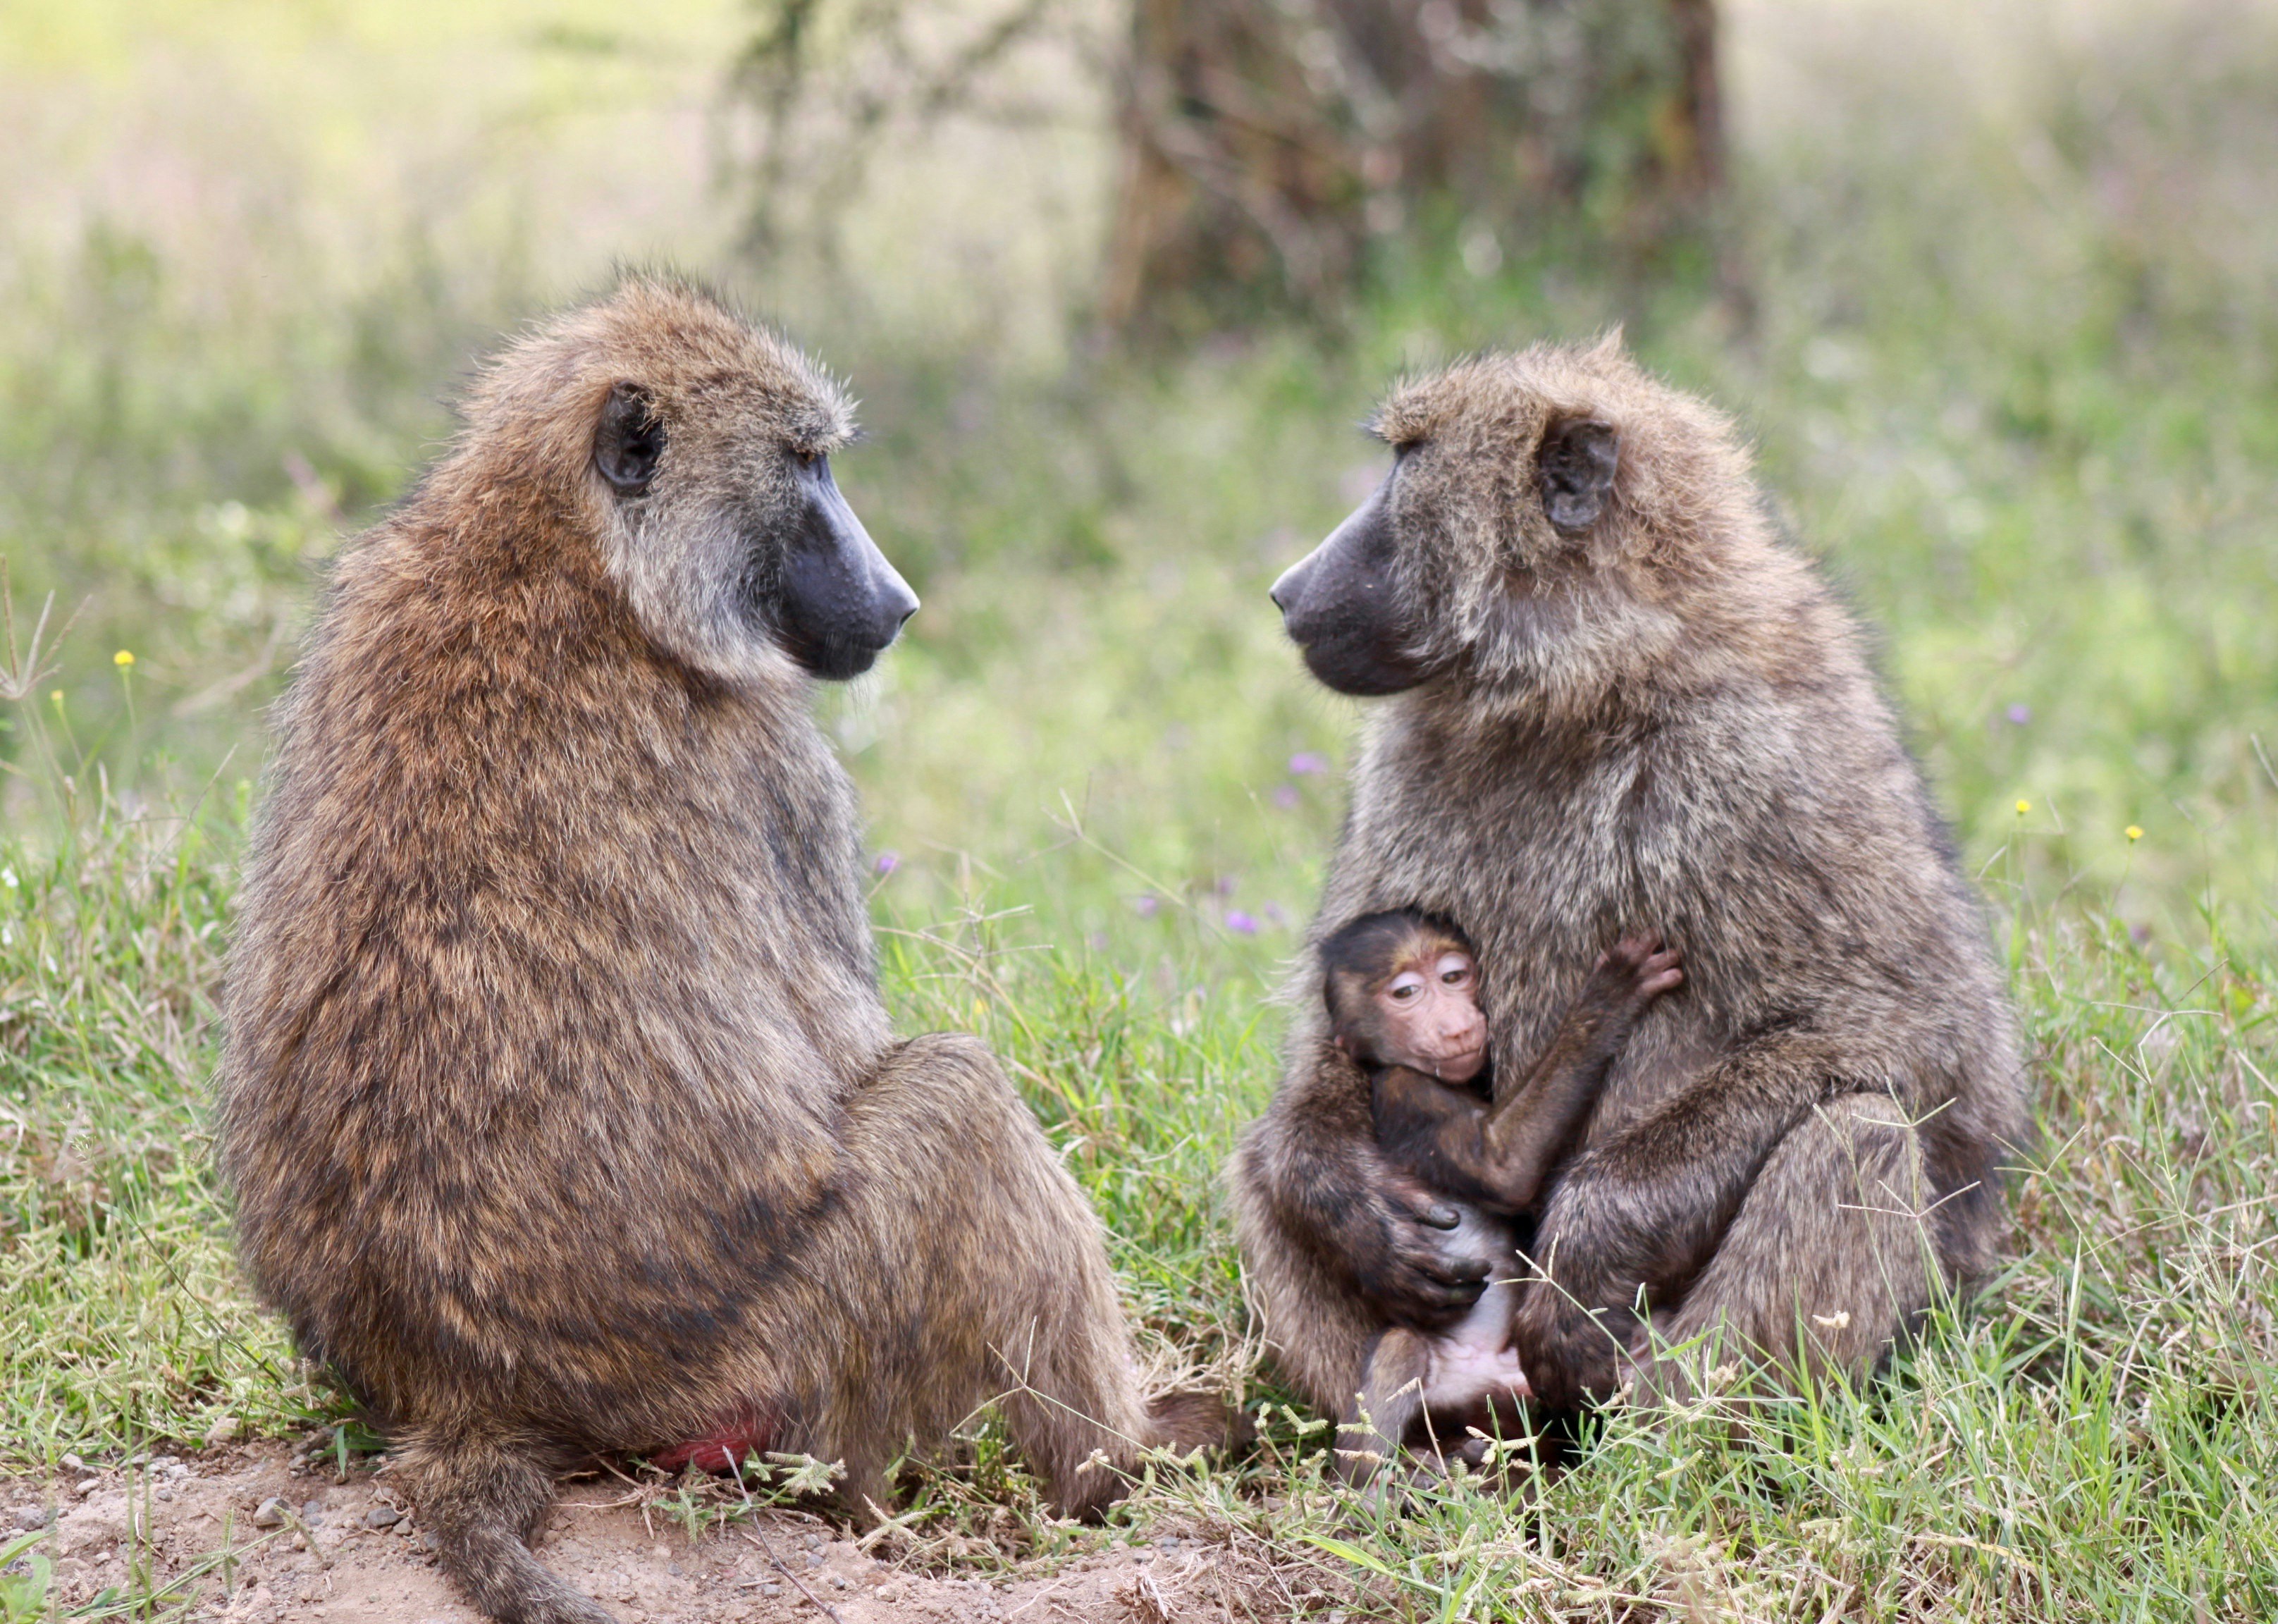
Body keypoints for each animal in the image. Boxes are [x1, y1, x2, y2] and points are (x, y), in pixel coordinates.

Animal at [216, 276, 1229, 1624]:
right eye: (805, 466)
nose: (897, 600)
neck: (560, 552)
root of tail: (468, 1396)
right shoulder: (778, 757)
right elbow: (852, 1059)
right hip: (779, 1353)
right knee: (959, 1098)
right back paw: (1123, 1464)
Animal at [1316, 911, 1681, 1487]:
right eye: (1406, 993)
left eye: (1453, 977)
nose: (1456, 1025)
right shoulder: (1407, 1090)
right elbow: (1503, 1167)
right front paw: (1607, 999)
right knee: (1402, 1348)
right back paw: (1375, 1489)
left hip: (1519, 1385)